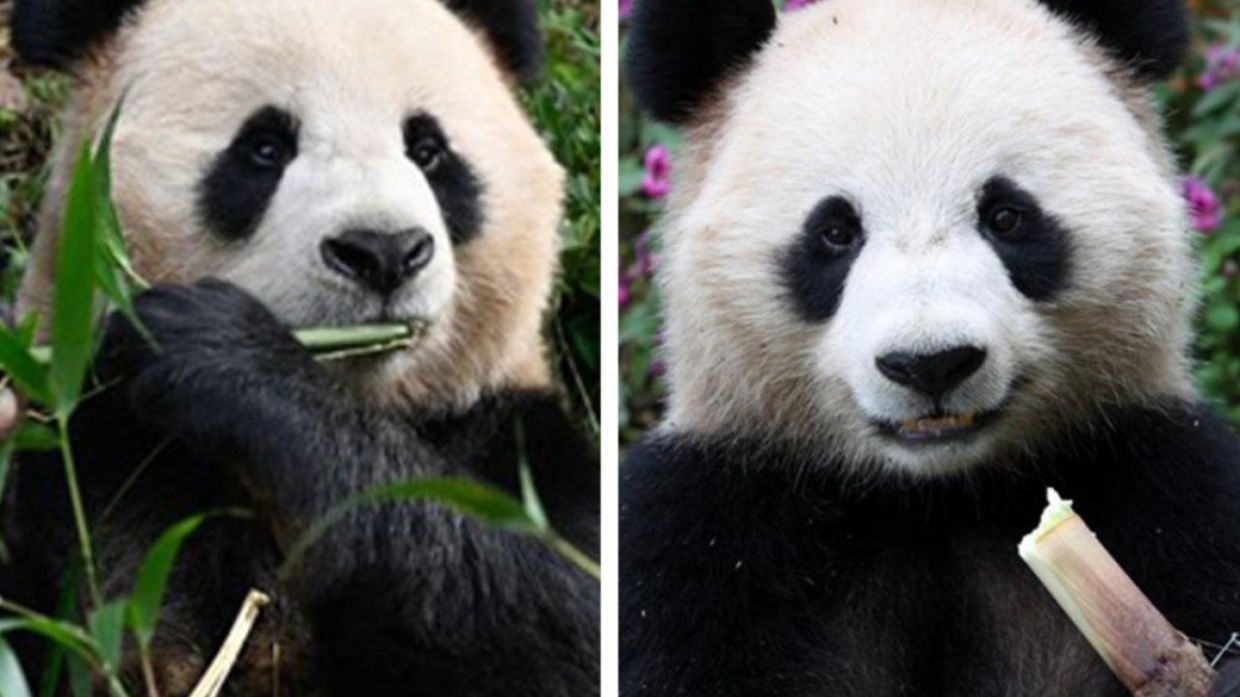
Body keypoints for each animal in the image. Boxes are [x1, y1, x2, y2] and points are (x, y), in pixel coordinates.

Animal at [0, 0, 599, 694]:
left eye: (428, 151)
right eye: (265, 147)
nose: (383, 251)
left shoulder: (511, 438)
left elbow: (547, 608)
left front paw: (218, 354)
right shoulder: (86, 458)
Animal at [621, 0, 1240, 695]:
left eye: (1007, 216)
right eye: (835, 232)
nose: (931, 364)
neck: (936, 496)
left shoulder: (1161, 475)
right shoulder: (711, 527)